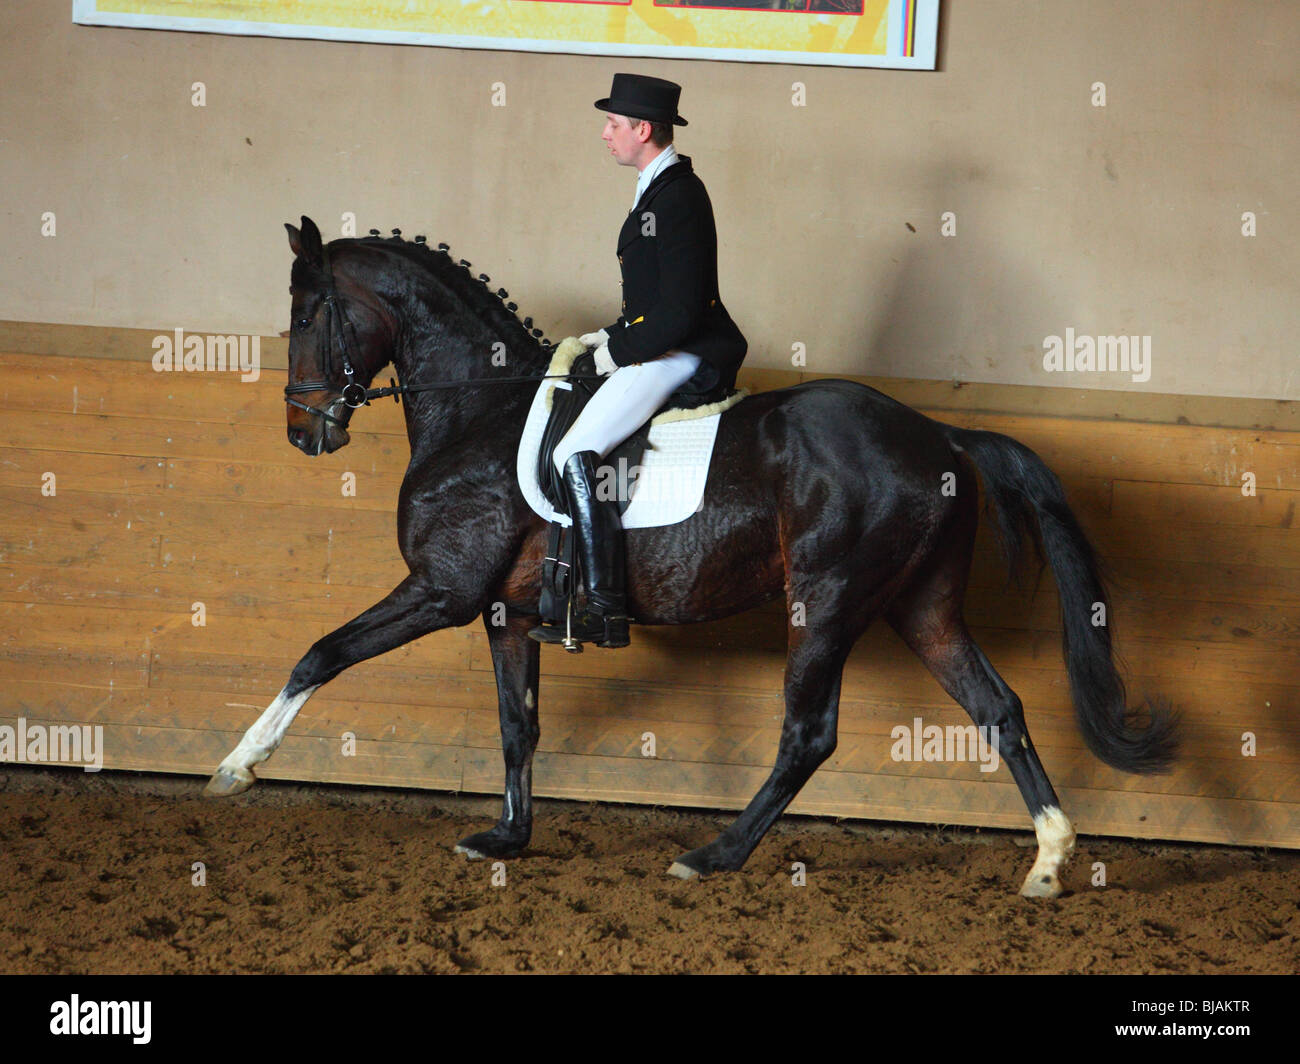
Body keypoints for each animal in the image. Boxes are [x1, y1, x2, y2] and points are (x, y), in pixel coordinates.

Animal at [204, 215, 1178, 898]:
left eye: (305, 313)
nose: (303, 432)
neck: (479, 408)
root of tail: (941, 434)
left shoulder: (442, 591)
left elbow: (320, 652)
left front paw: (237, 767)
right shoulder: (504, 611)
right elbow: (518, 725)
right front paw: (508, 839)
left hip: (826, 602)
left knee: (809, 734)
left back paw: (714, 855)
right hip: (922, 607)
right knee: (999, 709)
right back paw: (1049, 861)